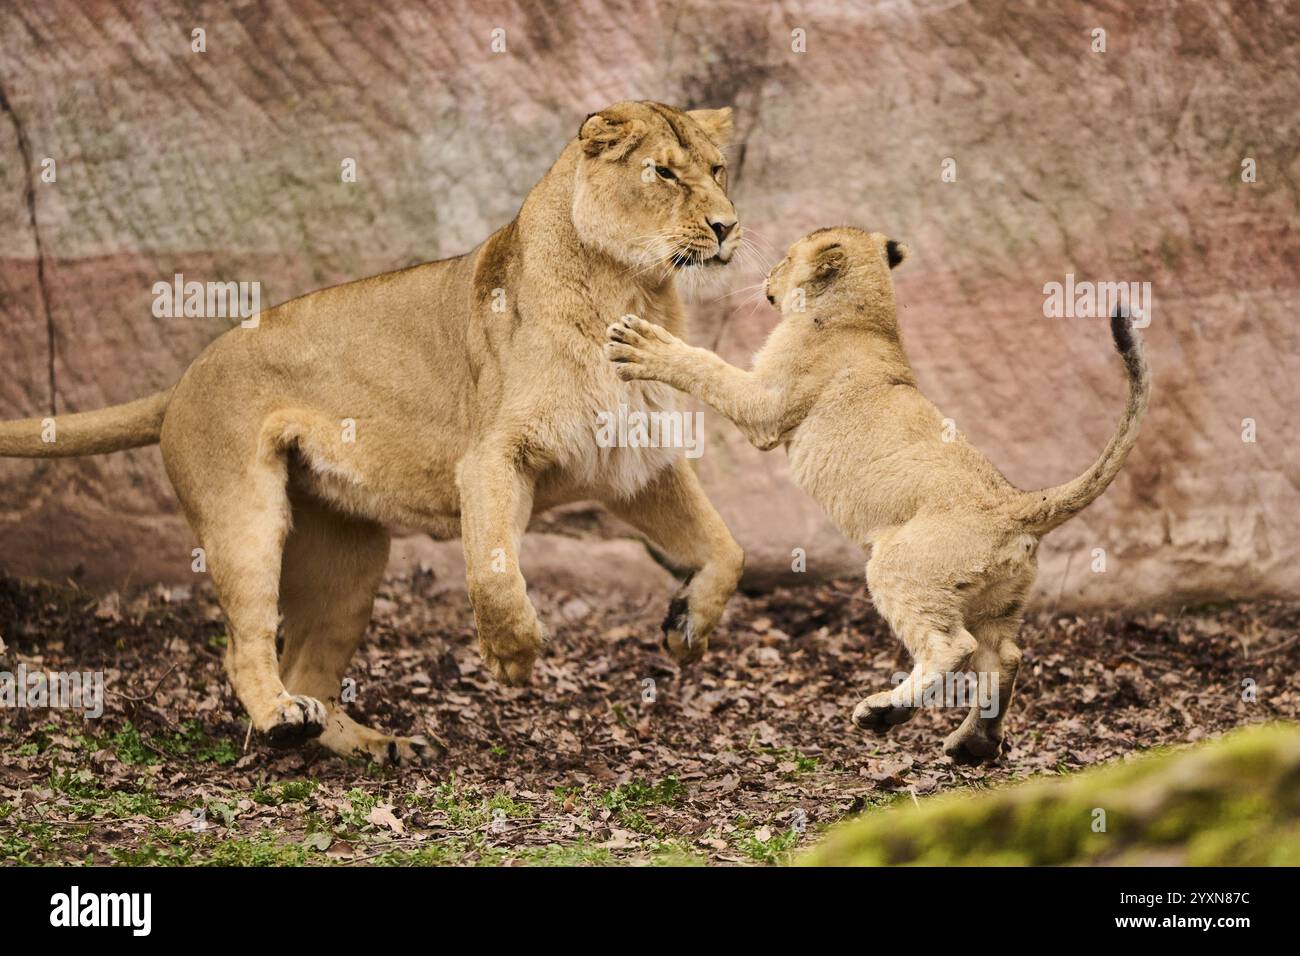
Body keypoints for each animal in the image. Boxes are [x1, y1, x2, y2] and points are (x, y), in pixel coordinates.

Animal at [0, 100, 746, 765]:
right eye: (664, 173)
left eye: (717, 169)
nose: (727, 226)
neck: (633, 289)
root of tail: (182, 379)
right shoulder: (493, 456)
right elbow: (494, 571)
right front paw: (512, 655)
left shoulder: (634, 459)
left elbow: (726, 549)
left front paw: (687, 627)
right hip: (245, 517)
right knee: (243, 648)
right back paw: (281, 719)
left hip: (349, 561)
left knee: (307, 667)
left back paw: (365, 742)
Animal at [606, 226, 1150, 763]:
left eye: (786, 257)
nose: (768, 275)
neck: (866, 314)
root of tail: (1015, 505)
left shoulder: (767, 402)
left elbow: (707, 366)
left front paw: (642, 346)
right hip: (996, 602)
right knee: (1007, 657)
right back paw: (972, 743)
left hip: (899, 566)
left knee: (952, 646)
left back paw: (884, 712)